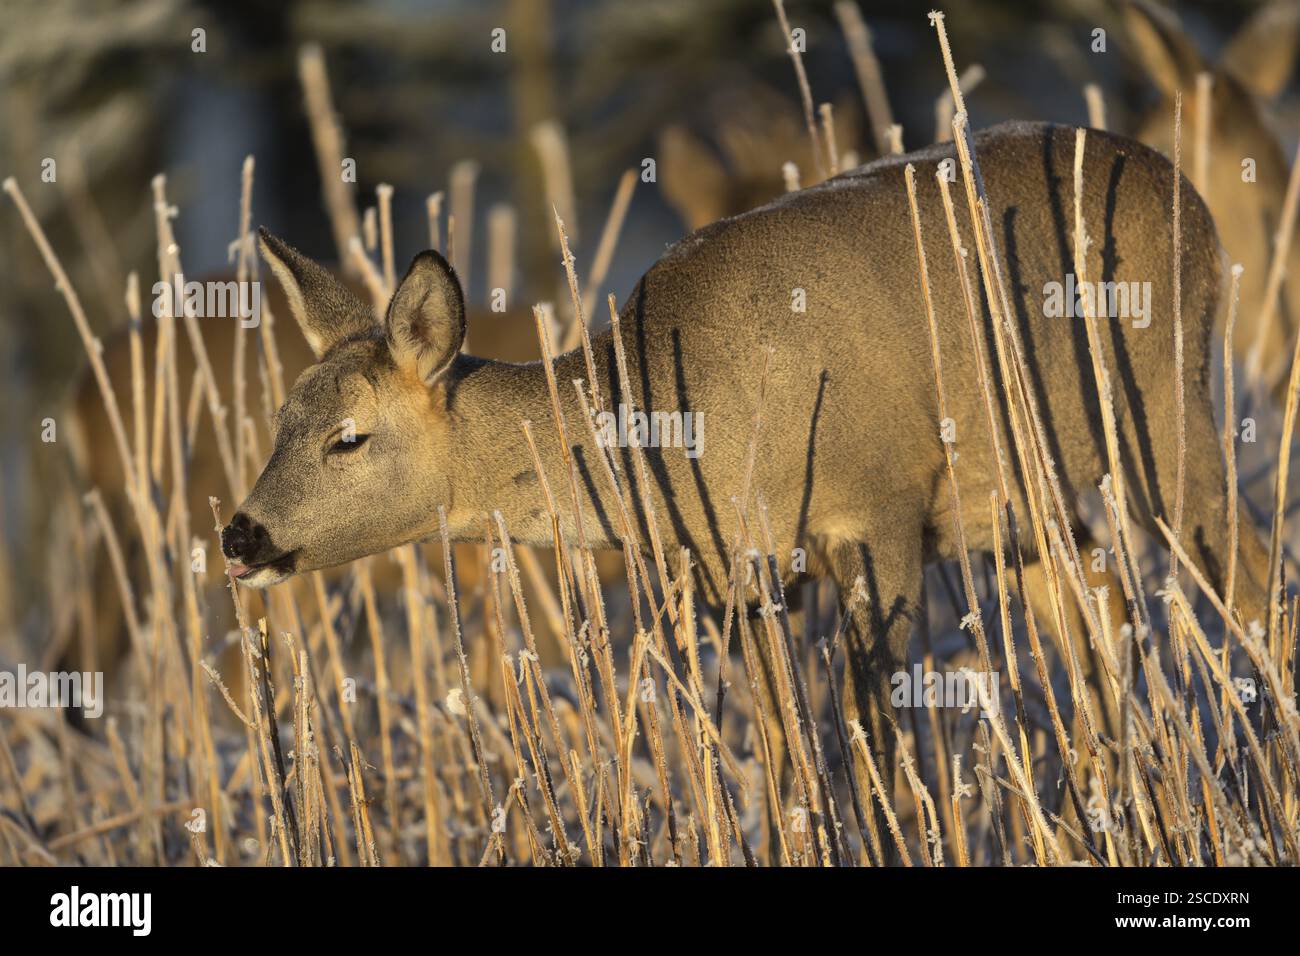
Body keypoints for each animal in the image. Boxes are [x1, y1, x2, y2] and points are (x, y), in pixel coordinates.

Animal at [223, 120, 1272, 849]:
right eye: (279, 418)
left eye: (349, 439)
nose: (240, 535)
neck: (675, 427)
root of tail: (1186, 191)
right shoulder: (745, 572)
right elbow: (786, 759)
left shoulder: (879, 509)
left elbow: (869, 741)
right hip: (1021, 500)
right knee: (1103, 609)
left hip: (1165, 404)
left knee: (1252, 577)